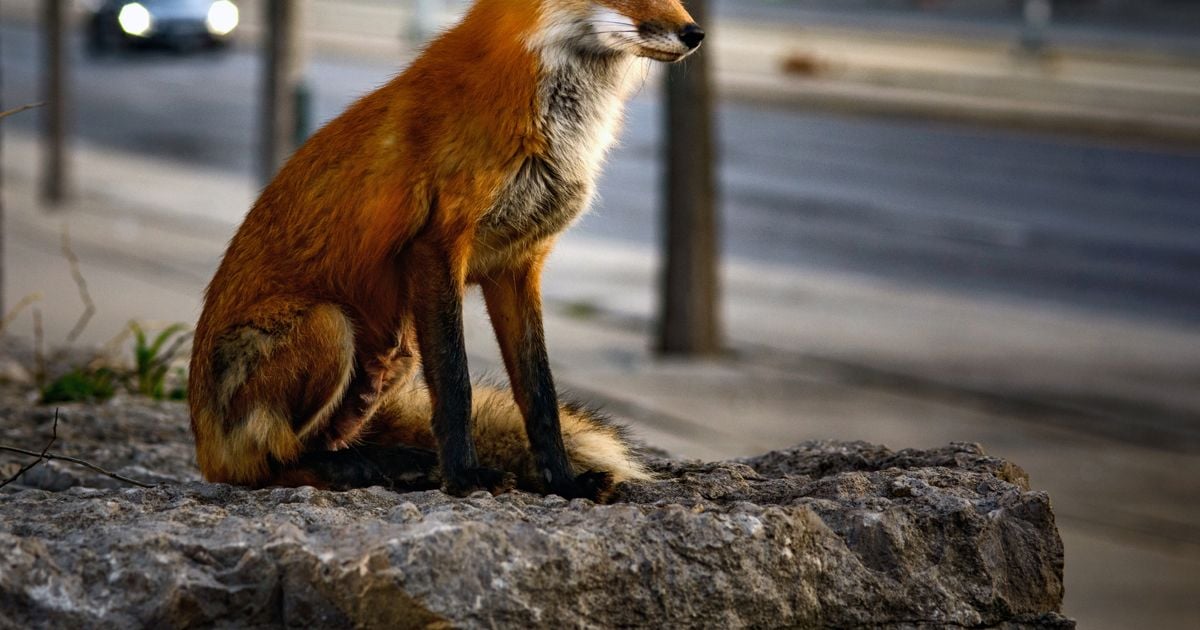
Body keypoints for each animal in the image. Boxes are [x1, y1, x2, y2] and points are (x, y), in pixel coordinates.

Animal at [188, 0, 705, 502]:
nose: (695, 34)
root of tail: (205, 448)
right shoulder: (436, 246)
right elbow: (457, 386)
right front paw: (463, 477)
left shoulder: (517, 265)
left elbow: (540, 395)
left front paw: (561, 482)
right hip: (330, 326)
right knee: (269, 464)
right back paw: (353, 469)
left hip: (397, 356)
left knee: (326, 441)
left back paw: (392, 464)